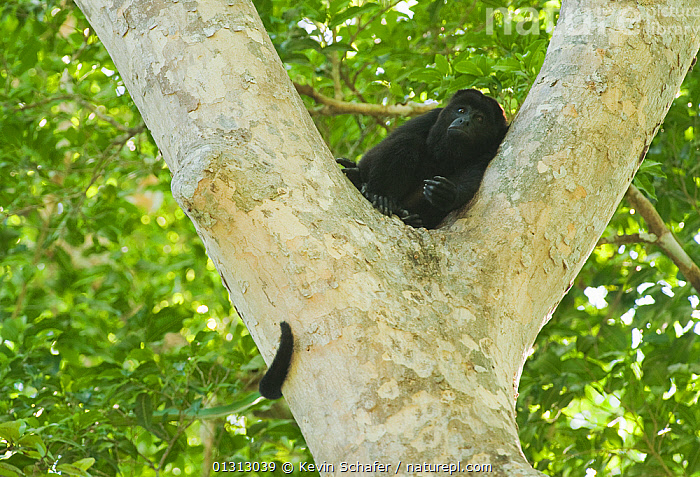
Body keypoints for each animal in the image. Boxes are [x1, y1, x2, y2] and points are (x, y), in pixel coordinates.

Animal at [337, 89, 508, 229]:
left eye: (479, 118)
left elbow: (473, 172)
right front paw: (361, 178)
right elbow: (376, 152)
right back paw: (379, 195)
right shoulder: (430, 117)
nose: (465, 121)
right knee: (407, 141)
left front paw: (448, 194)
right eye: (461, 110)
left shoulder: (495, 142)